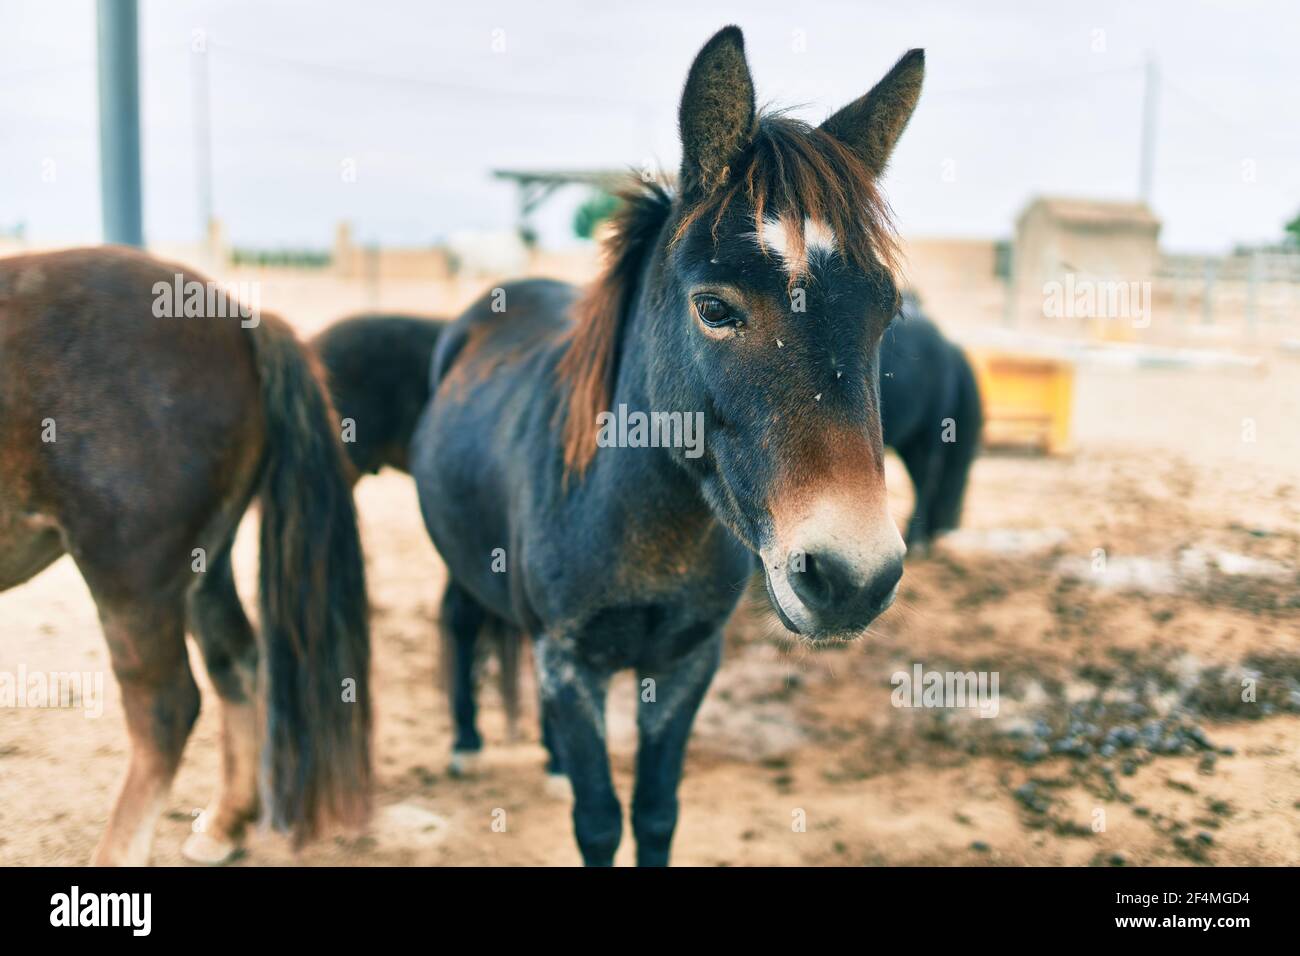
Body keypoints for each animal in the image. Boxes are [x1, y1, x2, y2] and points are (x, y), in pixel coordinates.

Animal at [0, 246, 371, 865]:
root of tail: (241, 321)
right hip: (201, 571)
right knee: (236, 662)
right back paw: (225, 824)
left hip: (129, 580)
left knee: (167, 708)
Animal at [409, 26, 925, 865]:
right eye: (714, 308)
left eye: (889, 312)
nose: (855, 578)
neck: (641, 523)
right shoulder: (570, 664)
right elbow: (597, 820)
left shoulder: (685, 667)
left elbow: (654, 811)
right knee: (458, 619)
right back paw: (464, 743)